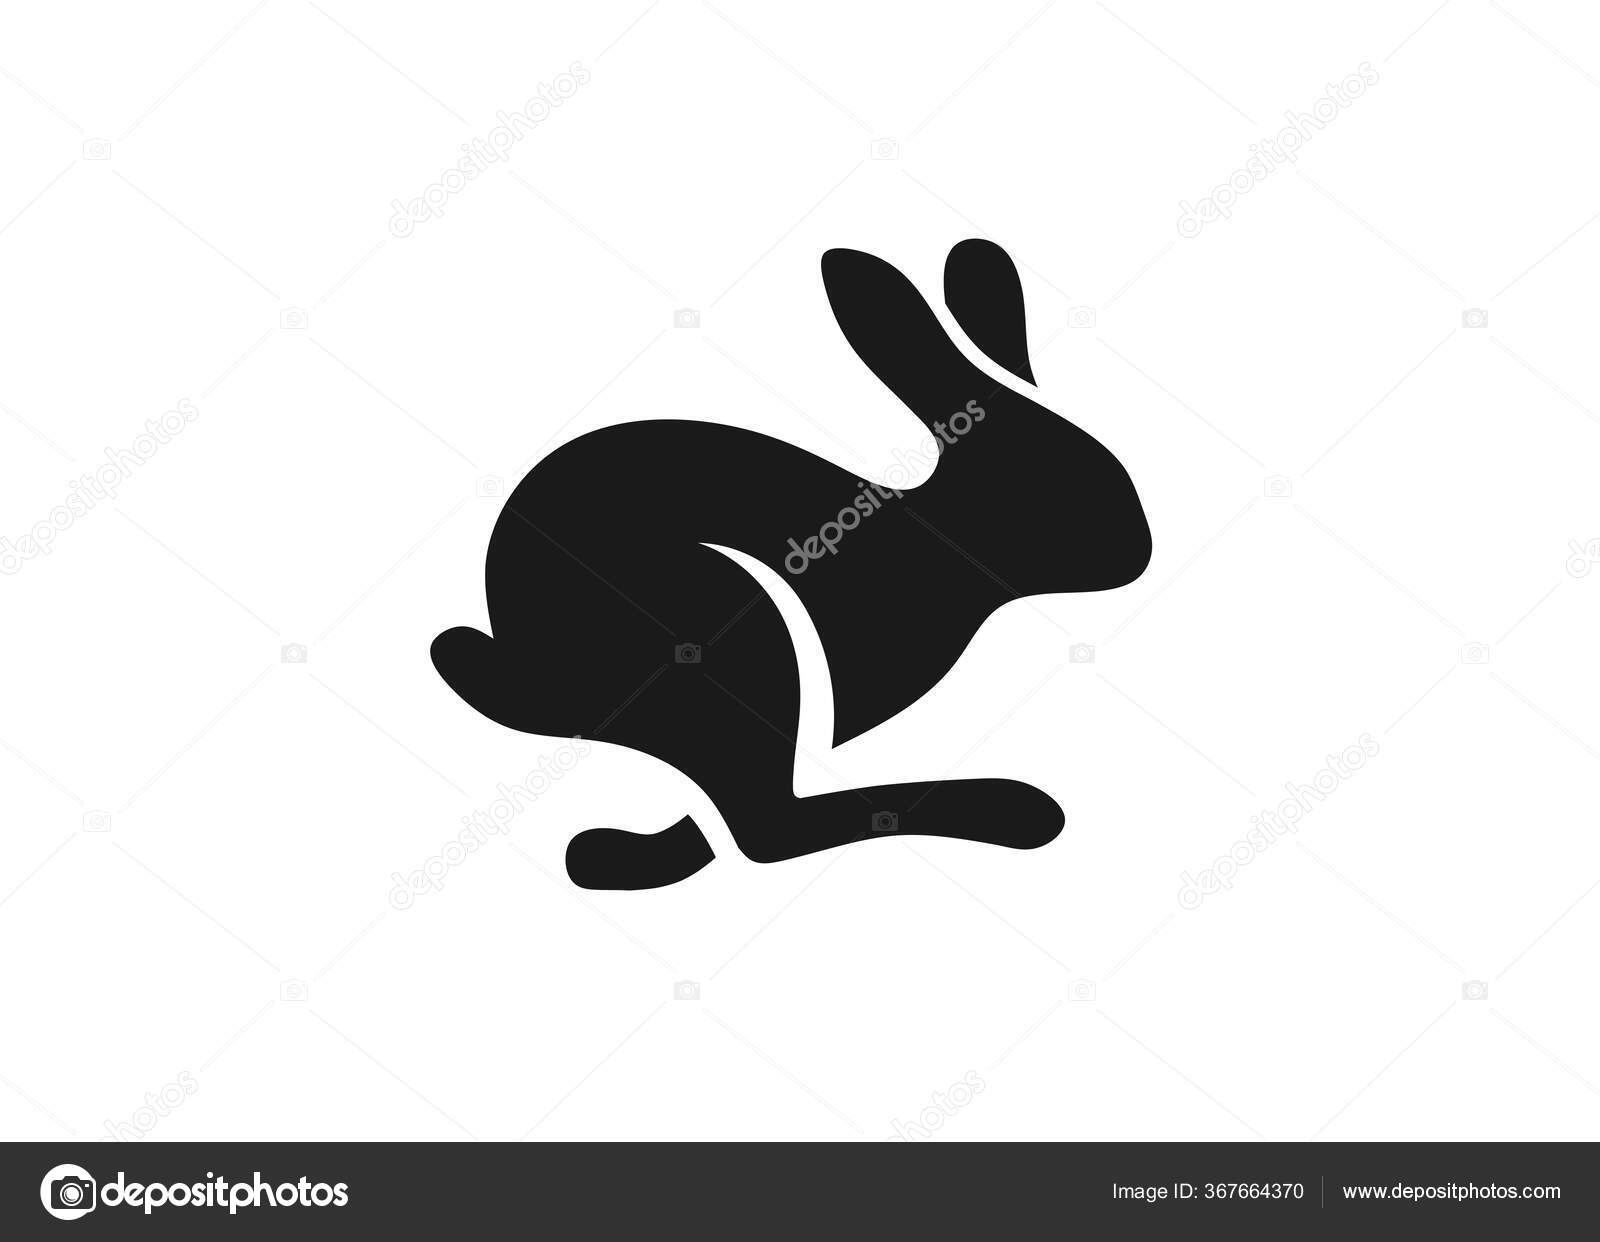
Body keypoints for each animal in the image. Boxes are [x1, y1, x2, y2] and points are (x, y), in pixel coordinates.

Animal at [432, 239, 1152, 889]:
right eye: (1072, 484)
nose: (1140, 551)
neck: (932, 535)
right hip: (739, 648)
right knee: (765, 832)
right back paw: (1020, 810)